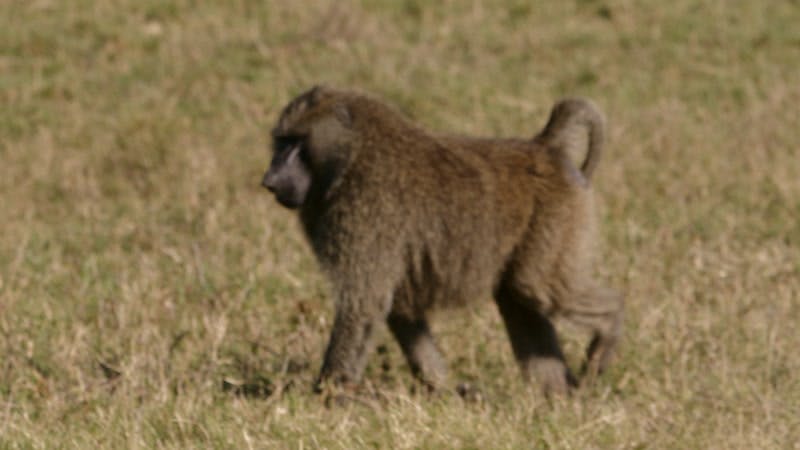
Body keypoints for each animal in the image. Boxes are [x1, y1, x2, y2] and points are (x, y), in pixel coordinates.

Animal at [261, 86, 623, 396]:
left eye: (295, 143)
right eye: (280, 142)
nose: (270, 181)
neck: (351, 154)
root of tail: (544, 147)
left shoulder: (364, 210)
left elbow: (364, 301)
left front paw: (327, 395)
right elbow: (398, 306)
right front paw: (441, 387)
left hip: (556, 219)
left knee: (536, 288)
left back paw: (608, 331)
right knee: (518, 296)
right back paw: (557, 396)